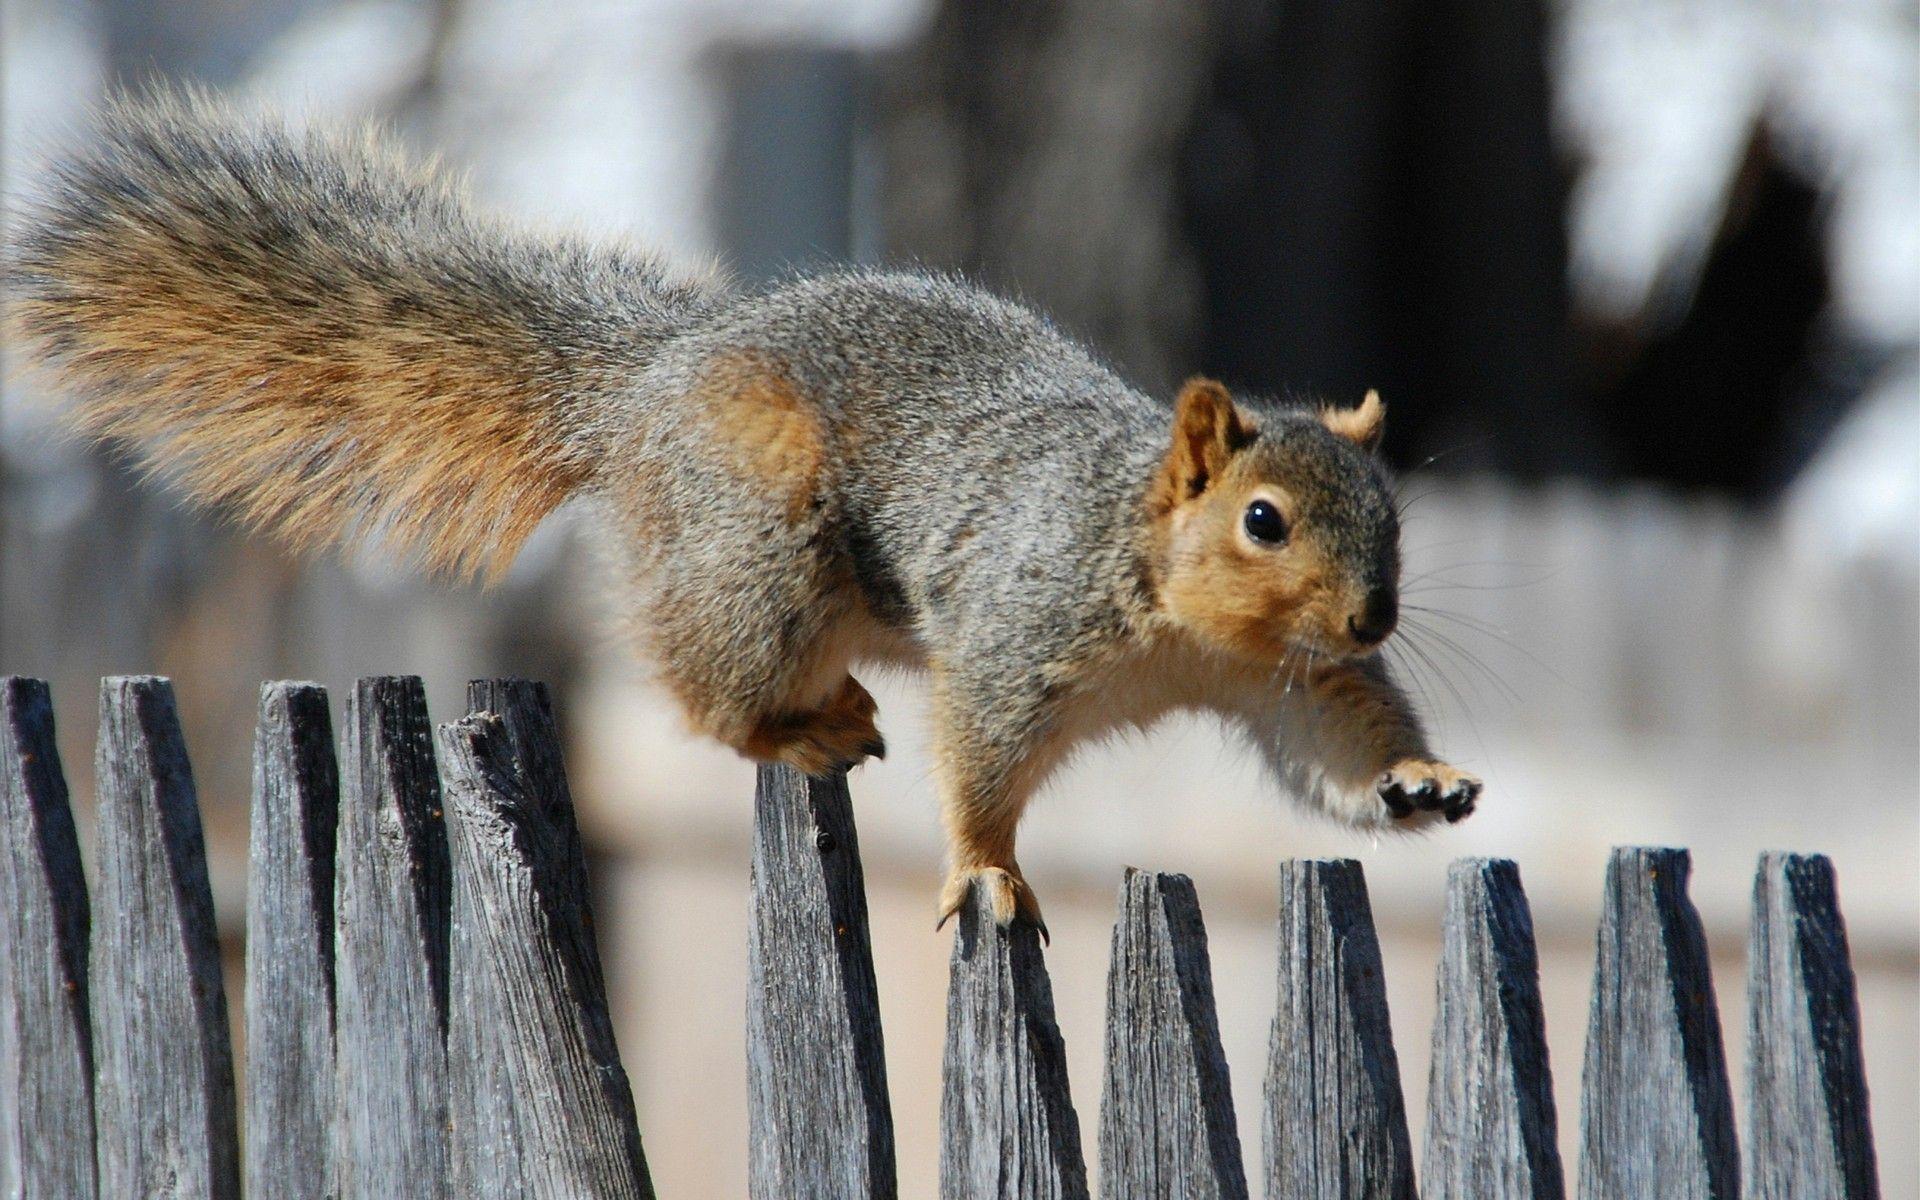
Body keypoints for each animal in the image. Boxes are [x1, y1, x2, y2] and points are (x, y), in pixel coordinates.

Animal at [4, 93, 1480, 933]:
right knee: (703, 690)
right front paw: (985, 874)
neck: (1180, 619)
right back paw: (796, 725)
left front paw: (1417, 779)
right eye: (1264, 521)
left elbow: (1332, 745)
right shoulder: (1017, 630)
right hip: (759, 549)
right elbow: (982, 763)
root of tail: (646, 385)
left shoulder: (1290, 682)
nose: (1375, 613)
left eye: (1393, 514)